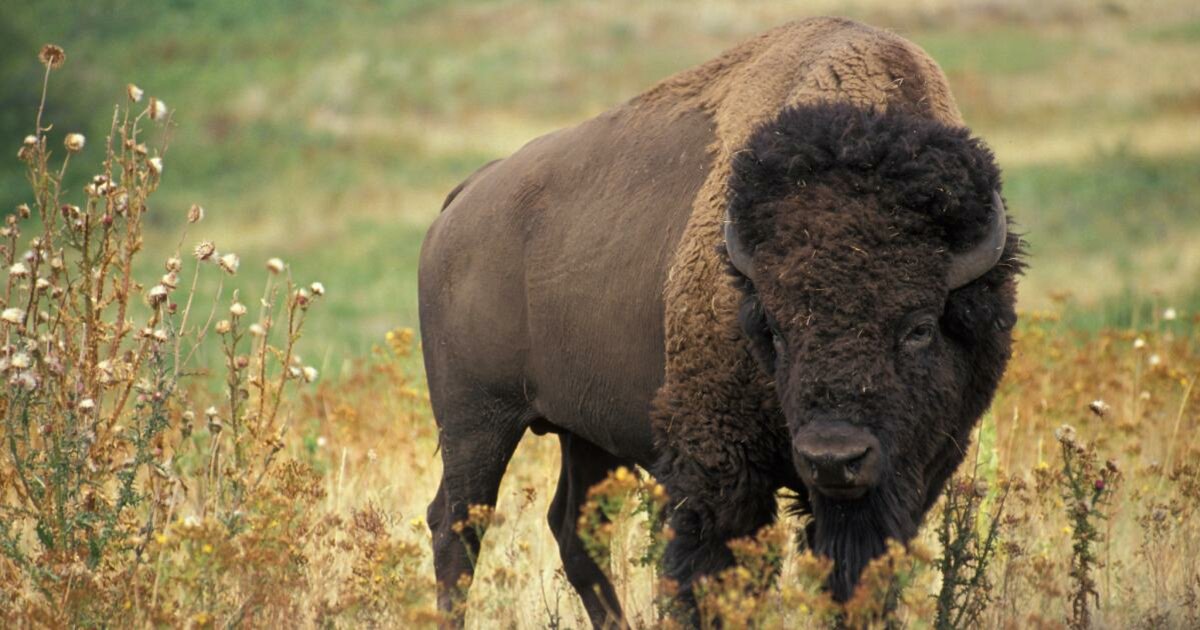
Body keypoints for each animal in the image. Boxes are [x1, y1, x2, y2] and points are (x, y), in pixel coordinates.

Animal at [418, 16, 1021, 627]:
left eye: (920, 327)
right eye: (774, 329)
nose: (833, 458)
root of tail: (463, 200)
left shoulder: (913, 474)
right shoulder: (717, 469)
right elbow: (709, 573)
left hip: (582, 432)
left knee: (574, 530)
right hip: (477, 420)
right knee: (456, 525)